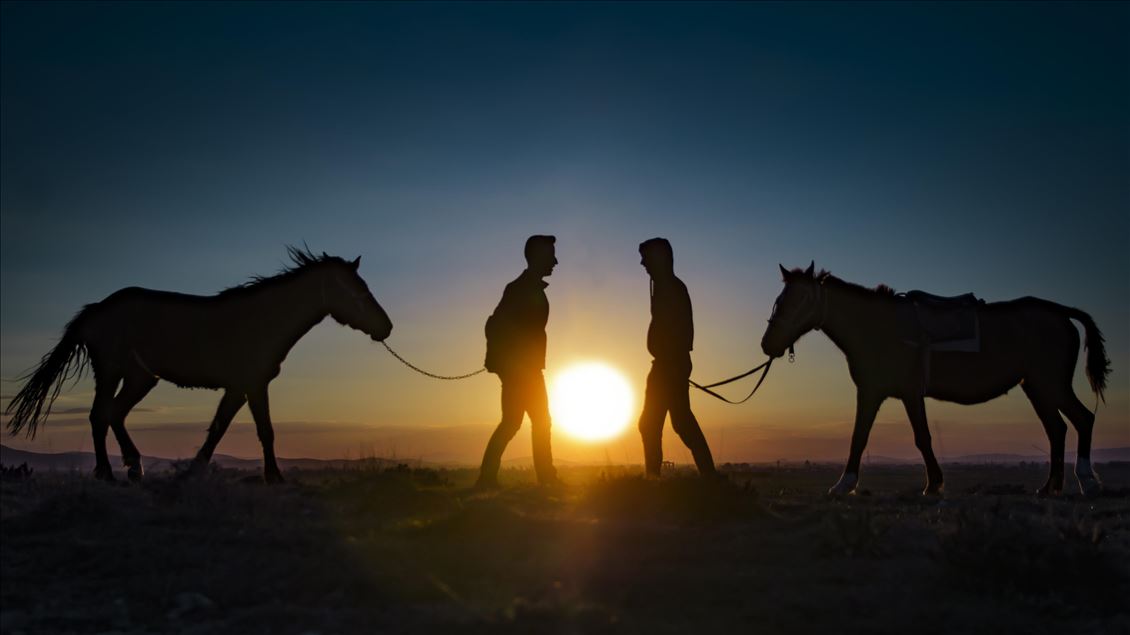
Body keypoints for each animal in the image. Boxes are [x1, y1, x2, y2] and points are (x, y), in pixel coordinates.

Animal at [5, 246, 393, 483]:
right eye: (355, 289)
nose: (386, 327)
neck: (264, 318)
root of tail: (97, 309)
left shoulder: (239, 387)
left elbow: (220, 427)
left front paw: (194, 470)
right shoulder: (253, 384)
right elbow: (262, 430)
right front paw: (274, 477)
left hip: (140, 377)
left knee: (114, 413)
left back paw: (134, 466)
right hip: (112, 371)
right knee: (100, 415)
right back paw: (106, 472)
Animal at [760, 262, 1110, 497]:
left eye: (801, 299)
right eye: (779, 299)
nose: (767, 344)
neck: (876, 326)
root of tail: (1060, 312)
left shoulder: (906, 393)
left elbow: (919, 437)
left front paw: (933, 484)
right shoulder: (872, 392)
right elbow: (860, 436)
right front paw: (845, 484)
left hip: (1051, 384)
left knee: (1083, 419)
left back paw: (1087, 480)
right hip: (1036, 386)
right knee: (1057, 429)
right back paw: (1050, 486)